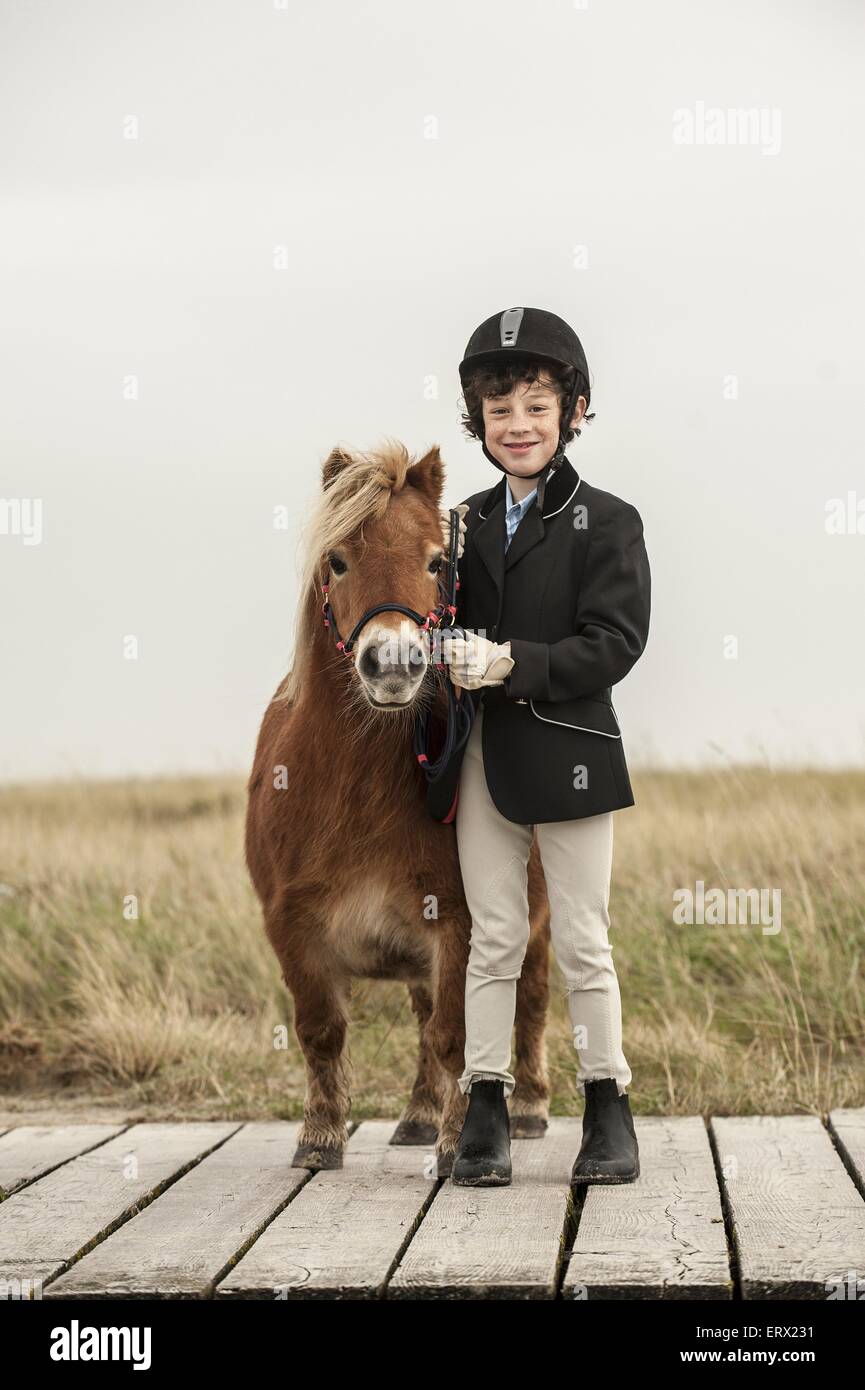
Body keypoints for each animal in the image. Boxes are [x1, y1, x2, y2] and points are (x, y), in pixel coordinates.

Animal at [245, 440, 552, 1173]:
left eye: (437, 562)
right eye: (337, 560)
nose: (392, 664)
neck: (356, 788)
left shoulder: (463, 921)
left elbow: (459, 1035)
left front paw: (461, 1144)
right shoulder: (291, 926)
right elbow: (322, 1031)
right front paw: (319, 1138)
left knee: (529, 1002)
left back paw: (526, 1109)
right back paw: (416, 1116)